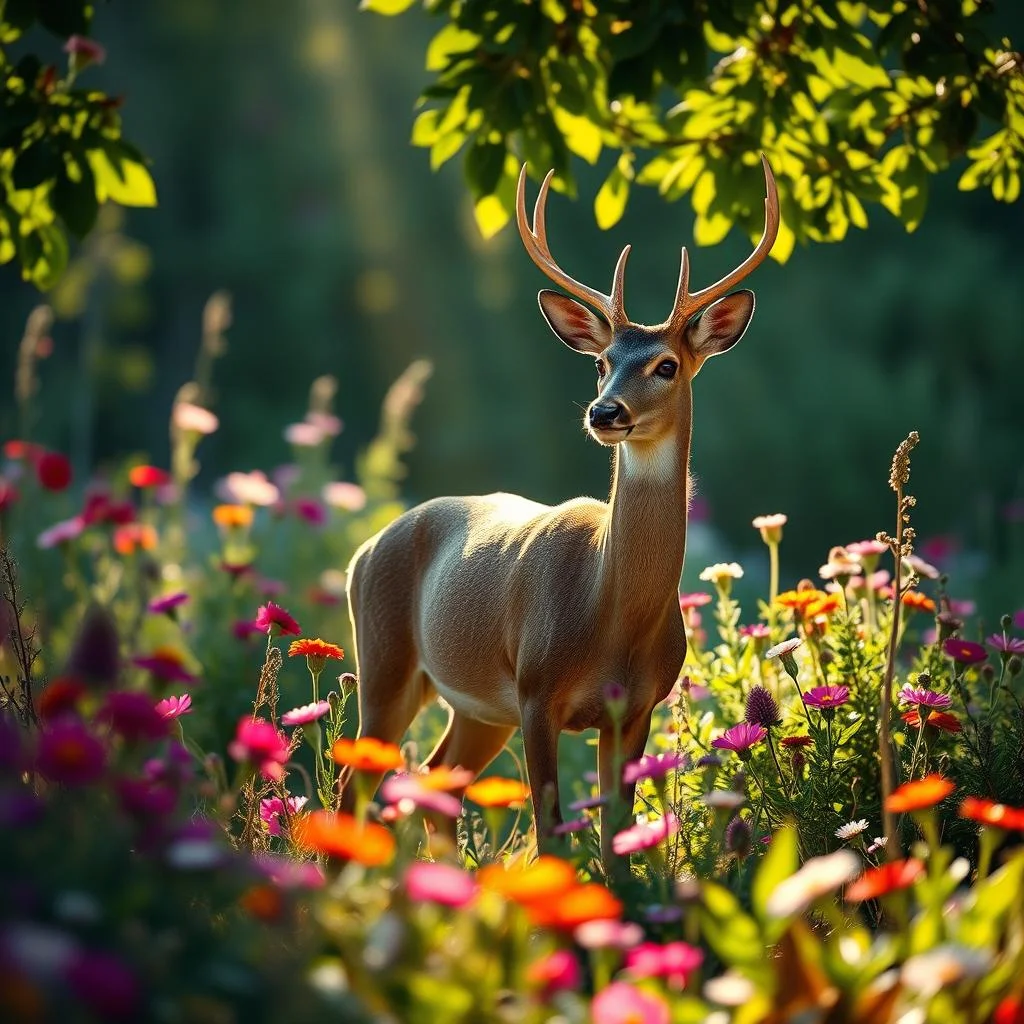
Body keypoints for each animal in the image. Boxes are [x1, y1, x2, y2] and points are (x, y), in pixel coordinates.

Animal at [342, 155, 779, 866]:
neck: (610, 617)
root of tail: (364, 549)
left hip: (474, 708)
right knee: (353, 783)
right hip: (385, 660)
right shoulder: (536, 692)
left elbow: (618, 837)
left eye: (667, 365)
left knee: (433, 779)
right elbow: (550, 830)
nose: (604, 412)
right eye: (601, 362)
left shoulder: (636, 711)